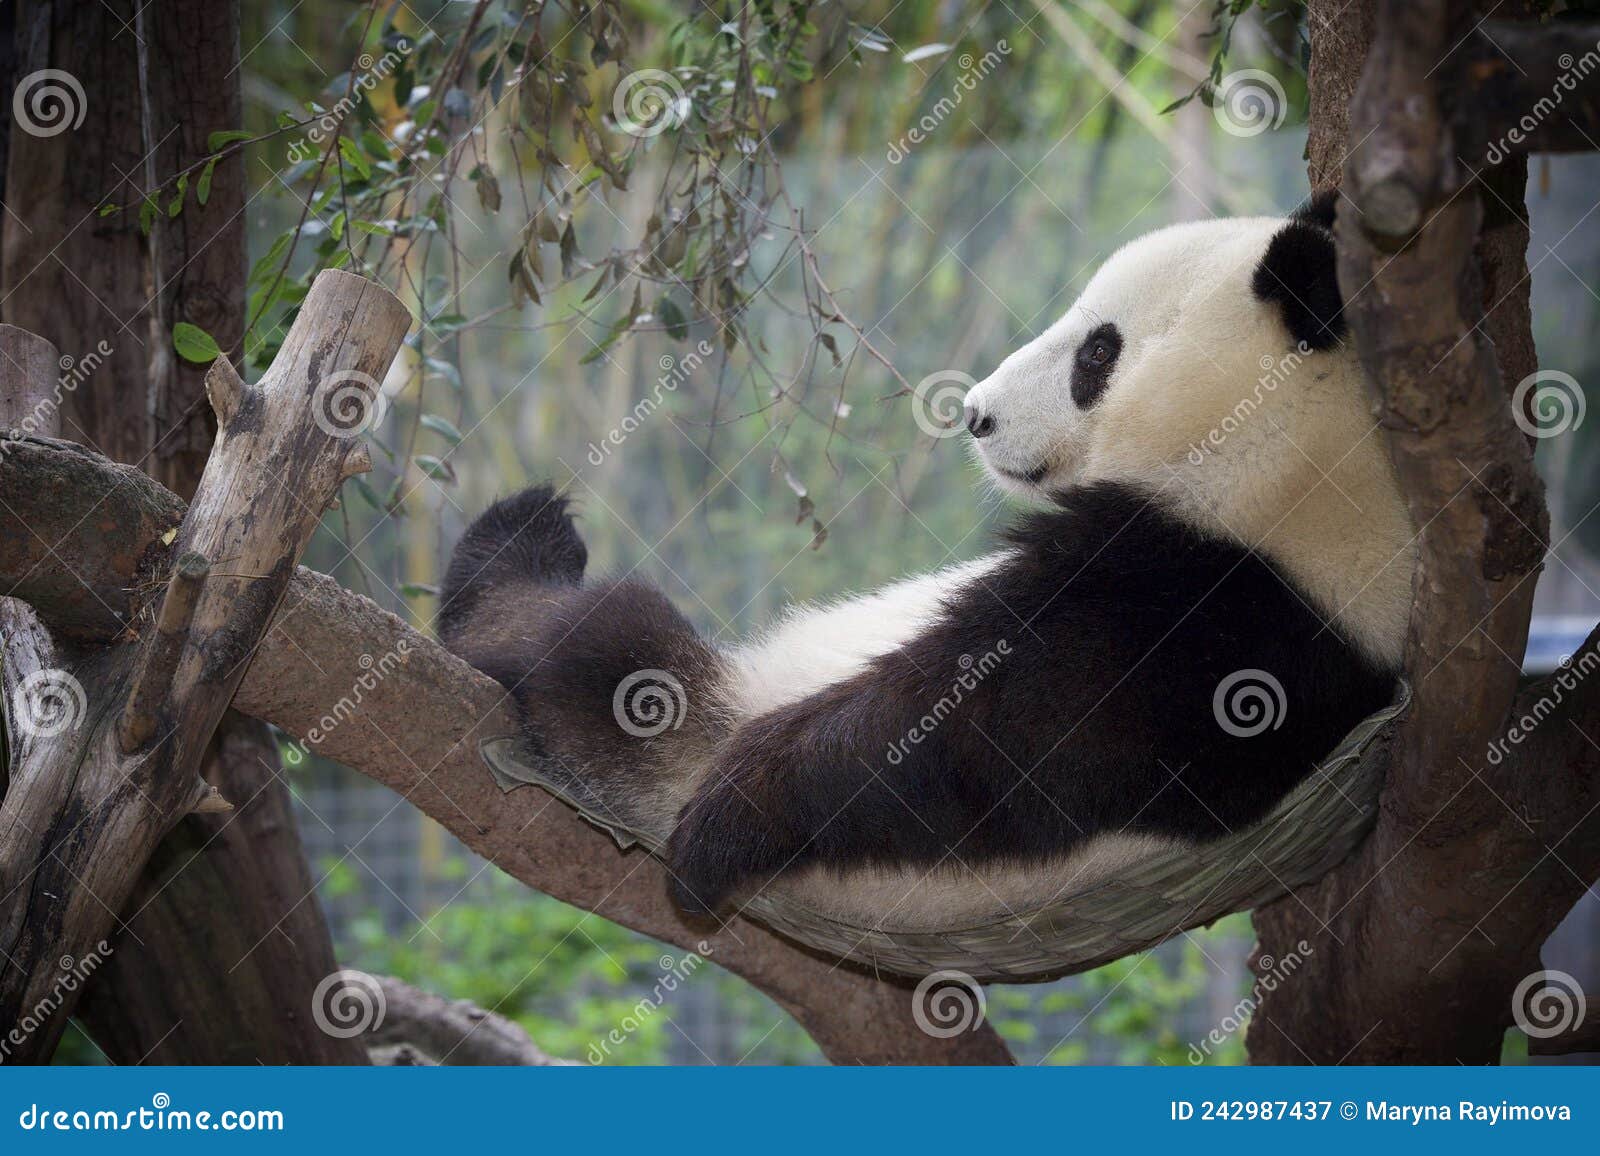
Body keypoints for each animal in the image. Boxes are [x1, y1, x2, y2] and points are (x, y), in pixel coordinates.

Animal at [438, 194, 1415, 929]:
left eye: (1098, 353)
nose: (976, 415)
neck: (1294, 460)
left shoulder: (1218, 616)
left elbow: (971, 742)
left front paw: (731, 821)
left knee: (605, 649)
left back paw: (513, 567)